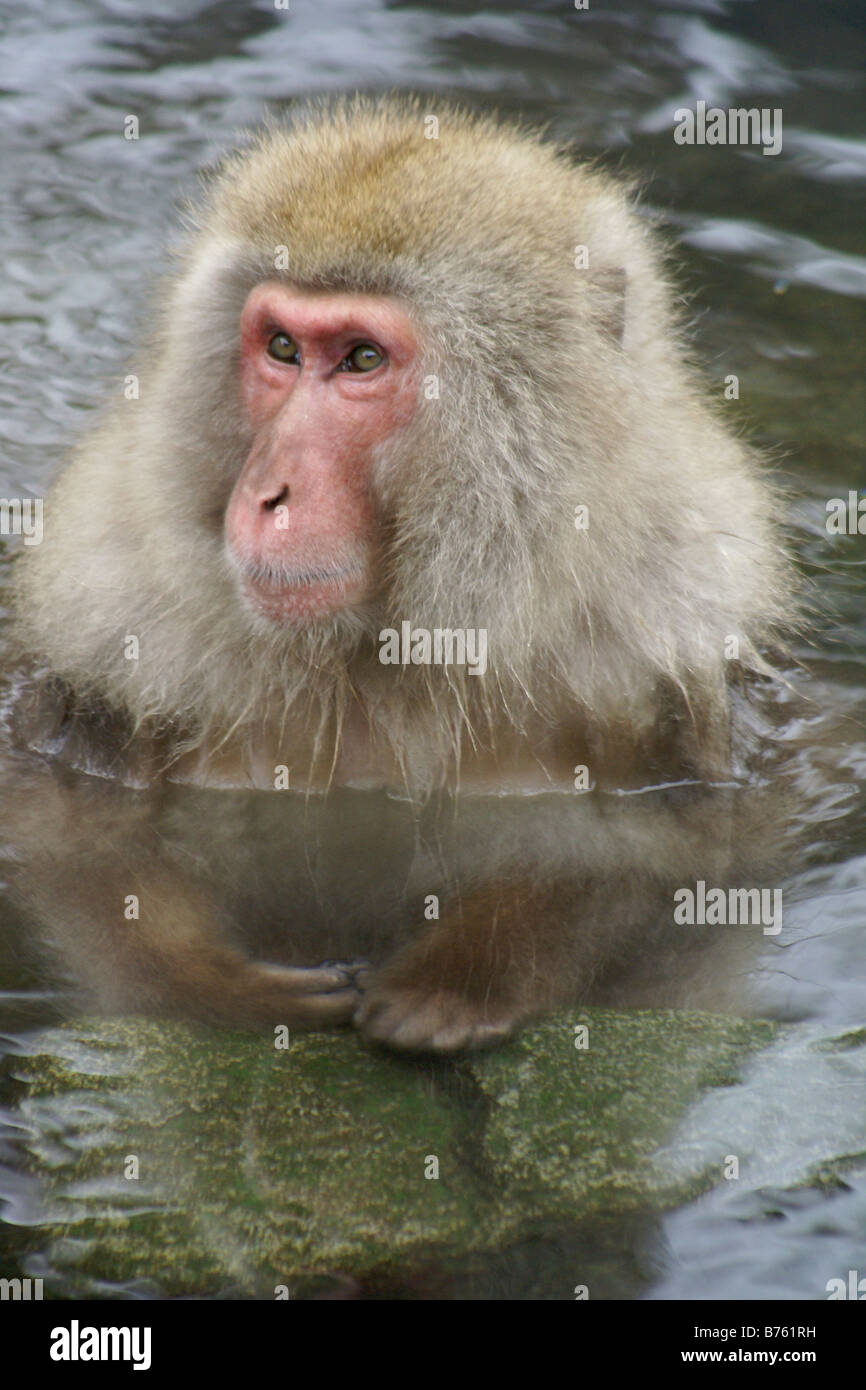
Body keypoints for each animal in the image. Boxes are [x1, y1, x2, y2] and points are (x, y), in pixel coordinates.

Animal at [6, 95, 796, 1051]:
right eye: (282, 347)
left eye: (361, 359)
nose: (266, 493)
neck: (394, 641)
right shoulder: (109, 613)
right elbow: (70, 833)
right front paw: (216, 988)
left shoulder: (672, 647)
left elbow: (670, 855)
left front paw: (465, 974)